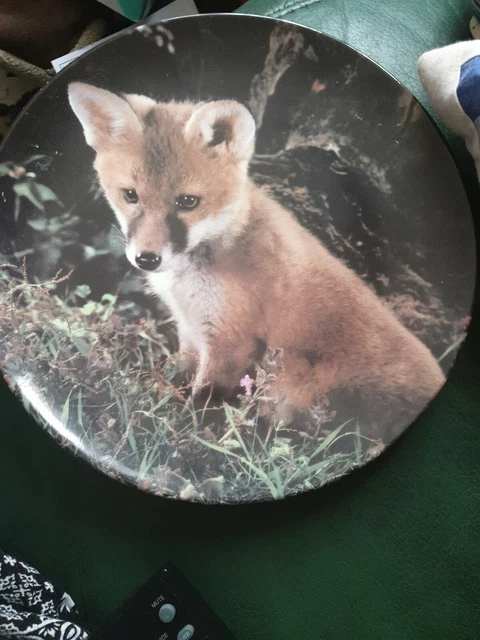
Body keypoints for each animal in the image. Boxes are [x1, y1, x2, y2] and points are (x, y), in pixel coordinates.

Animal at [68, 82, 446, 437]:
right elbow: (181, 383)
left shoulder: (232, 341)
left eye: (188, 202)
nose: (147, 259)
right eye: (130, 195)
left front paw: (184, 444)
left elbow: (199, 414)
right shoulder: (191, 331)